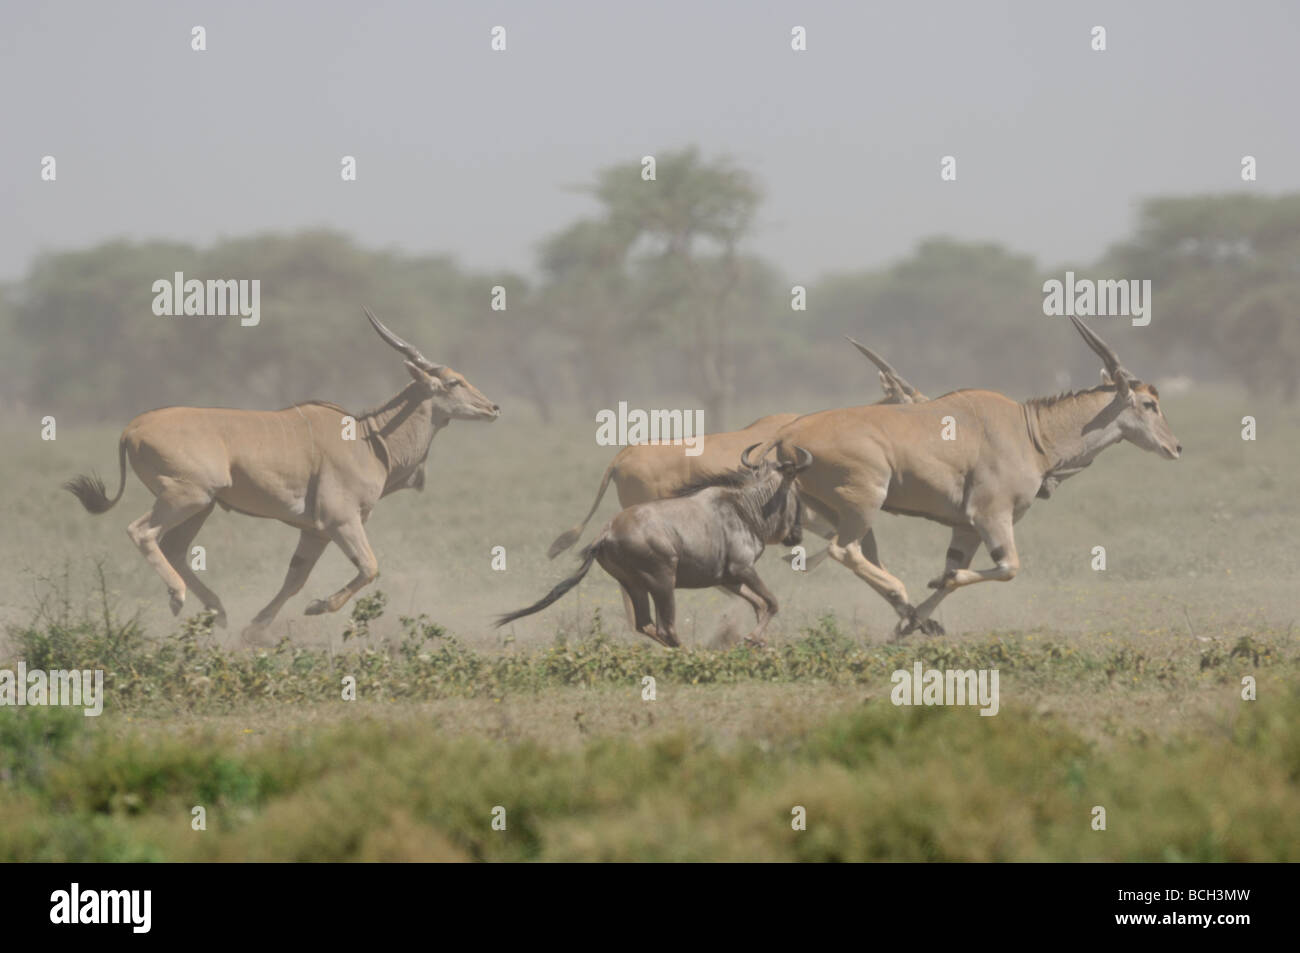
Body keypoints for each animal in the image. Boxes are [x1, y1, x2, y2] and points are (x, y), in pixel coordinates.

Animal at [64, 309, 500, 641]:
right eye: (453, 382)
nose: (493, 407)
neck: (369, 437)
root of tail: (131, 429)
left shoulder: (315, 531)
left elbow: (295, 579)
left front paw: (254, 628)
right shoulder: (341, 520)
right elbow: (369, 567)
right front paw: (317, 607)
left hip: (202, 505)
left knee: (174, 548)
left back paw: (219, 611)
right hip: (187, 497)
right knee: (142, 532)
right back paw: (178, 597)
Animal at [498, 447, 814, 647]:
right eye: (797, 492)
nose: (797, 536)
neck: (745, 509)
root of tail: (605, 534)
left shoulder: (729, 578)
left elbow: (759, 604)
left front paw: (757, 641)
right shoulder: (743, 568)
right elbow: (772, 602)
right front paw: (751, 639)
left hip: (634, 584)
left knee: (645, 624)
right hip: (663, 580)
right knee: (666, 627)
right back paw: (689, 654)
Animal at [748, 316, 1181, 638]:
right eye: (1149, 404)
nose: (1175, 447)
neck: (1031, 432)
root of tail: (787, 435)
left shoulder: (966, 528)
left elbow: (950, 574)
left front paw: (913, 622)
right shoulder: (990, 517)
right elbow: (1006, 569)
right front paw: (913, 616)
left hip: (830, 513)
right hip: (864, 504)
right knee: (845, 551)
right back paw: (898, 591)